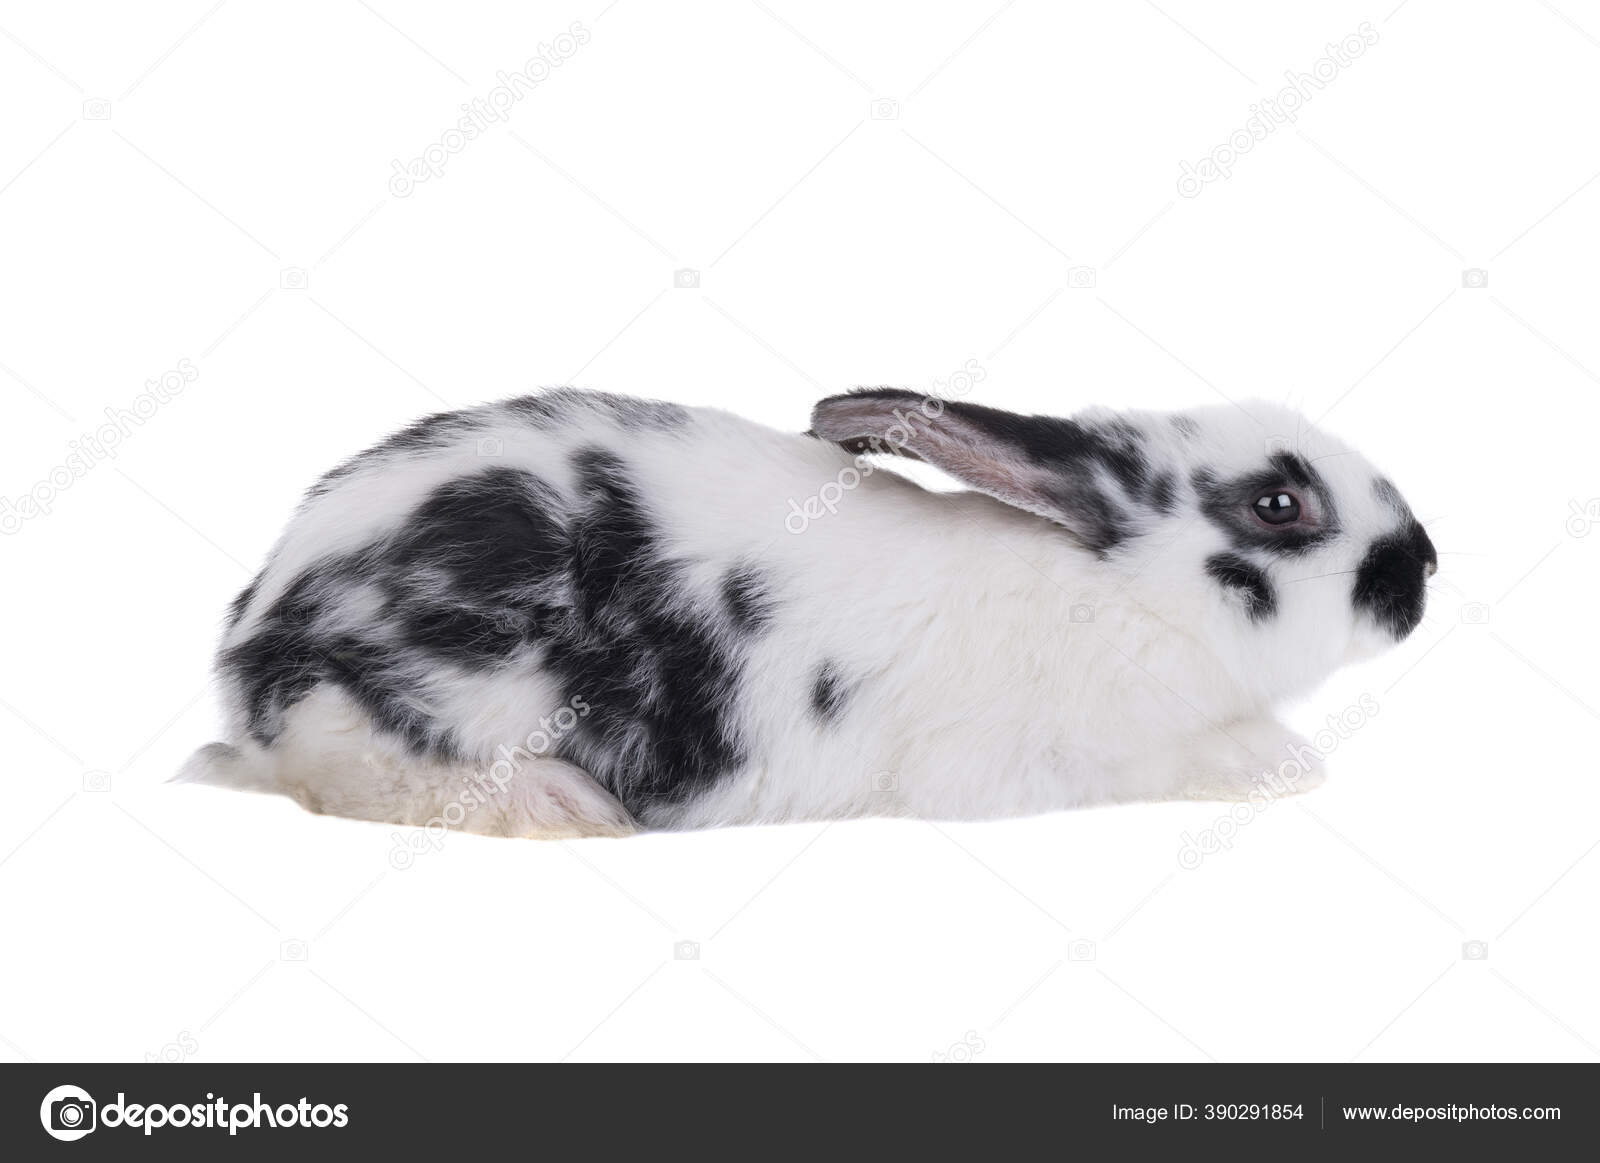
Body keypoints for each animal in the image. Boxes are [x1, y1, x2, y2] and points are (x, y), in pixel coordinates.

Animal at [179, 386, 1435, 838]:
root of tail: (253, 642)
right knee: (357, 778)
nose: (1420, 570)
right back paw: (561, 807)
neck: (1121, 591)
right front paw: (1280, 765)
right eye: (1278, 504)